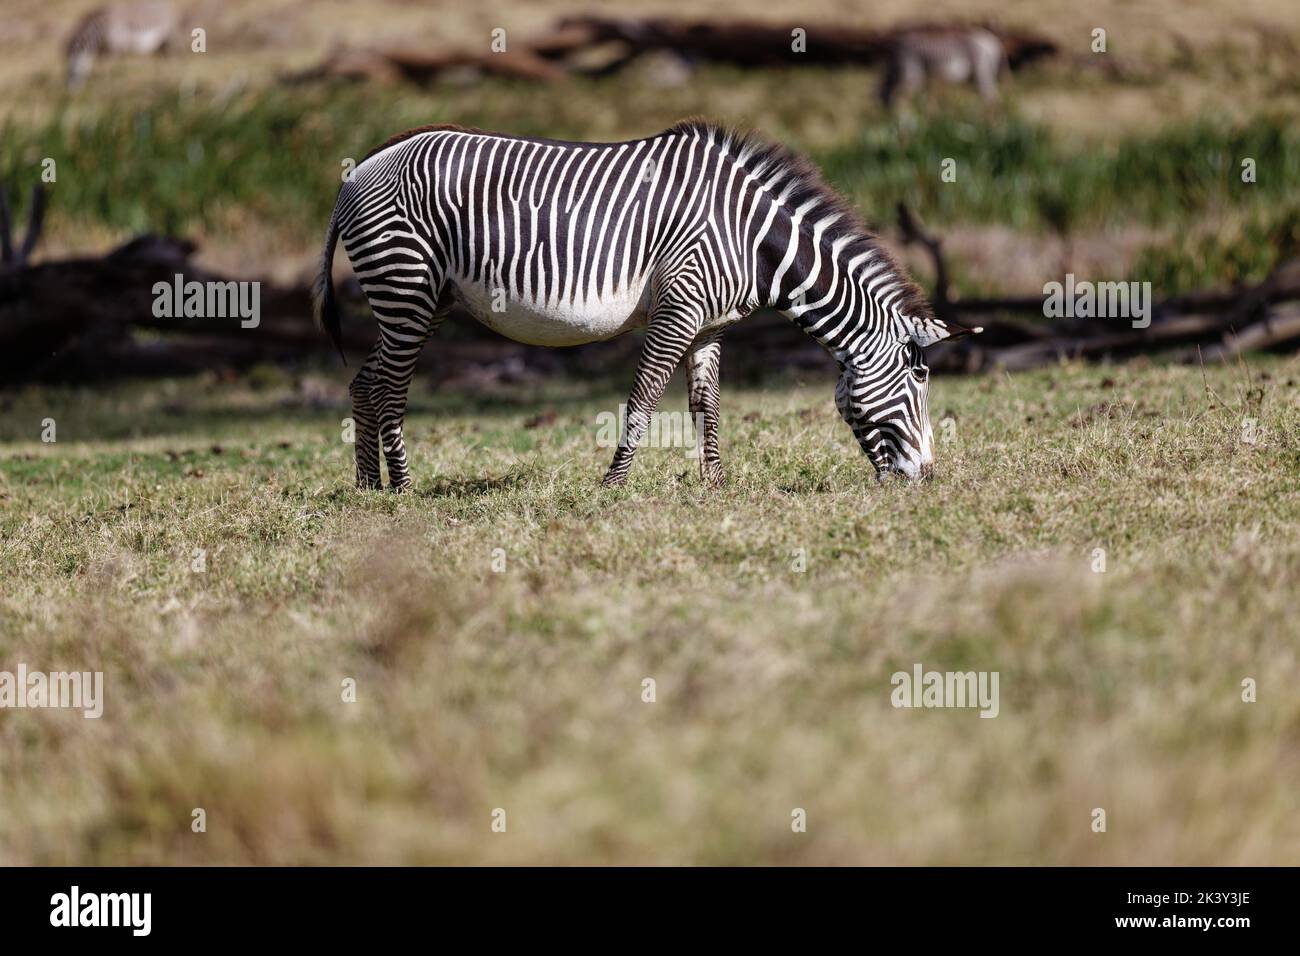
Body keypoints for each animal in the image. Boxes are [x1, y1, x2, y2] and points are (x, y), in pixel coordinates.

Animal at [313, 121, 980, 490]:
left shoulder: (710, 324)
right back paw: (403, 489)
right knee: (390, 387)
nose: (927, 479)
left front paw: (714, 485)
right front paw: (613, 486)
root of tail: (359, 169)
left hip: (427, 299)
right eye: (919, 381)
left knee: (366, 381)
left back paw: (368, 488)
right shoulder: (679, 305)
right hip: (406, 287)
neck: (753, 241)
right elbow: (642, 399)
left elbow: (707, 405)